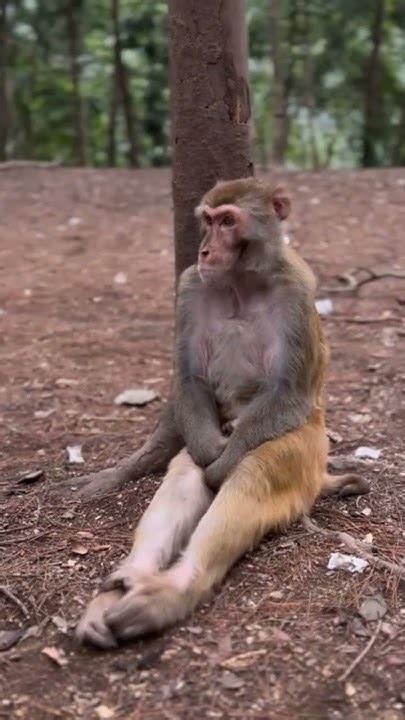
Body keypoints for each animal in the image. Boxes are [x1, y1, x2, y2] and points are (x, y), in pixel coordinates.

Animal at [75, 178, 368, 648]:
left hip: (307, 448)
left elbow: (287, 393)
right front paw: (211, 456)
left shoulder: (298, 292)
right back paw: (129, 579)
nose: (205, 251)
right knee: (186, 470)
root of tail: (320, 471)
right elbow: (191, 379)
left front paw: (223, 465)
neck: (241, 283)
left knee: (257, 470)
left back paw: (175, 589)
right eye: (209, 221)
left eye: (229, 221)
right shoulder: (190, 285)